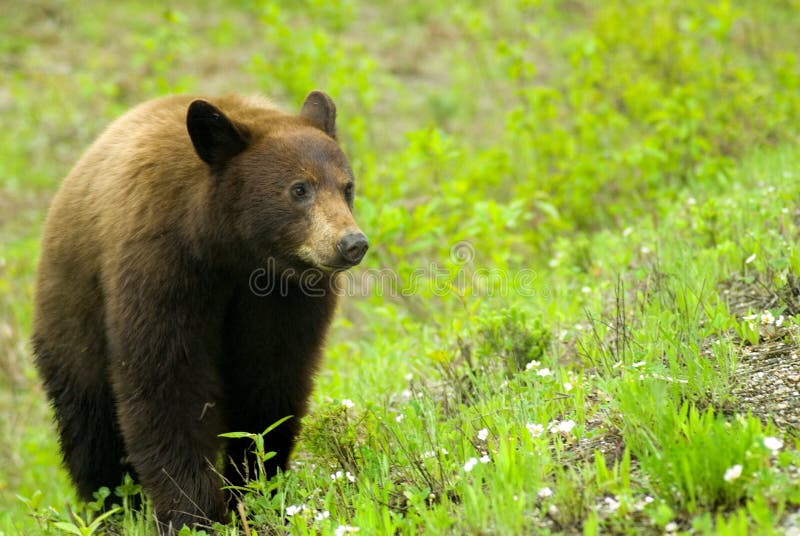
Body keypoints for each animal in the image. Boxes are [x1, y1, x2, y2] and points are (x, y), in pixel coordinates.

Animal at [32, 90, 368, 531]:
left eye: (347, 187)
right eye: (299, 188)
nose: (352, 243)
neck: (234, 252)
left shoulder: (285, 300)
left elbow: (270, 385)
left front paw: (255, 493)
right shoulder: (161, 269)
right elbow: (166, 386)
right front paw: (194, 513)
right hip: (73, 319)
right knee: (90, 424)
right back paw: (112, 511)